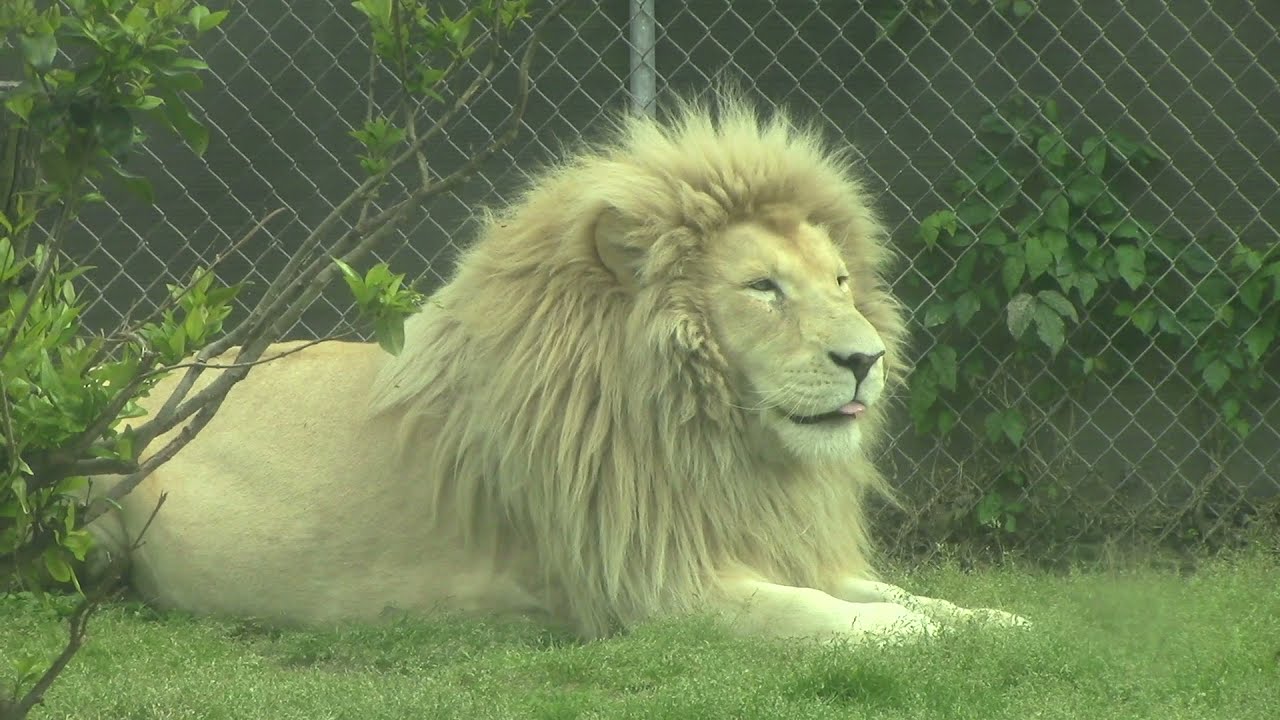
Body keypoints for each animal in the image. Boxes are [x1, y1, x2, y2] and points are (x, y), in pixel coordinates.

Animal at [85, 90, 1027, 644]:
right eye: (764, 288)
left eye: (838, 282)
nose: (867, 360)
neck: (723, 446)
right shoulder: (651, 587)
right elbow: (848, 622)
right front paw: (965, 641)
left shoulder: (766, 542)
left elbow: (905, 596)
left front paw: (1003, 617)